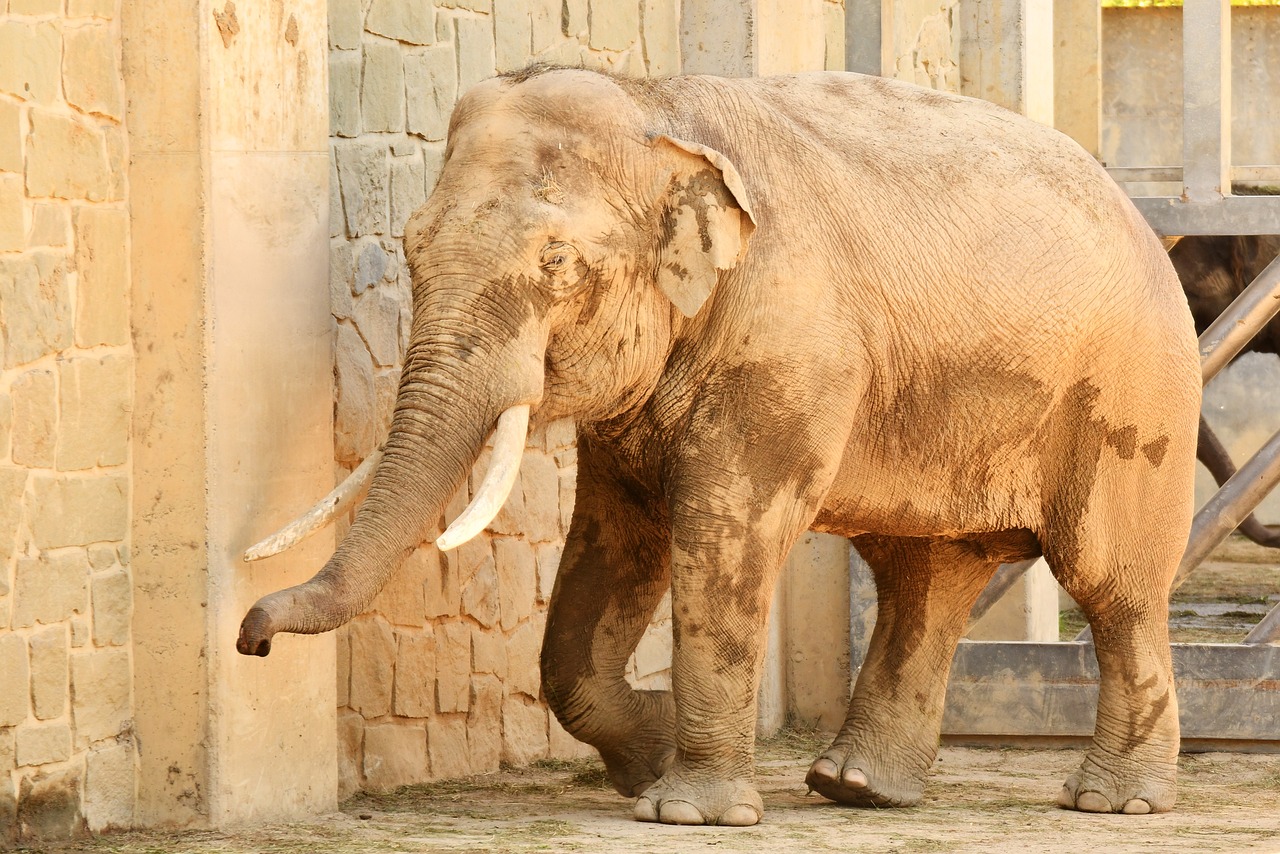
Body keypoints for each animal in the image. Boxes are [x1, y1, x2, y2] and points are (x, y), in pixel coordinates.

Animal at [237, 66, 1202, 825]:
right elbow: (615, 543)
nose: (250, 636)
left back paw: (1112, 802)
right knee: (926, 574)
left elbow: (723, 532)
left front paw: (684, 809)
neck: (658, 106)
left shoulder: (785, 344)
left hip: (1133, 393)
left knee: (1109, 583)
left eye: (556, 262)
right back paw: (855, 789)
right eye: (411, 245)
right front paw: (650, 754)